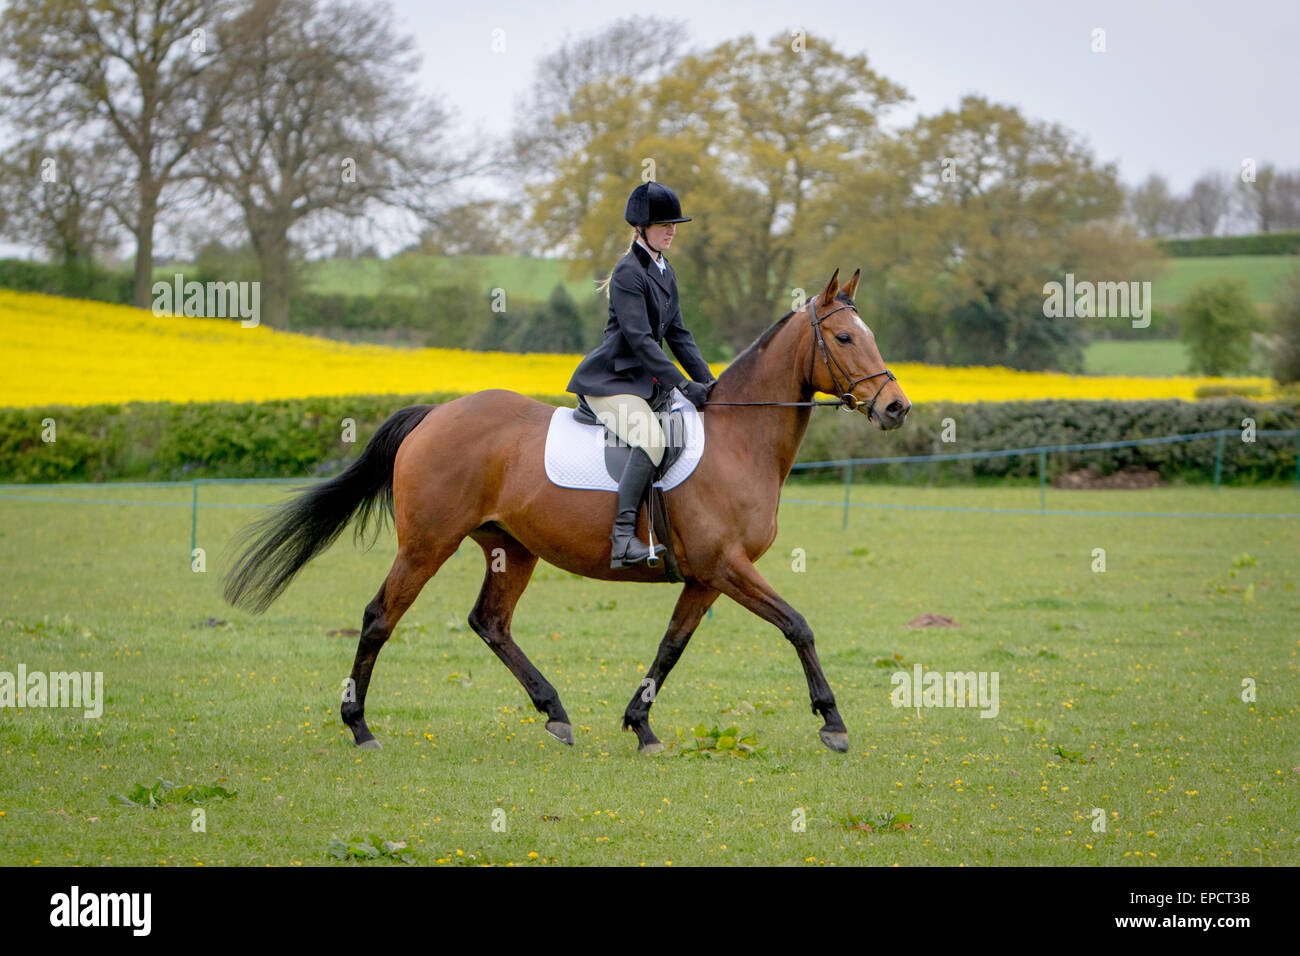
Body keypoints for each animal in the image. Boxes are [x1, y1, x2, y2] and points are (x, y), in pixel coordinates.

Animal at [223, 267, 910, 754]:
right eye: (844, 337)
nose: (896, 408)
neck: (741, 439)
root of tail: (435, 413)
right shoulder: (727, 566)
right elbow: (798, 625)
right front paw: (833, 722)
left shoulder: (706, 577)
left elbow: (671, 647)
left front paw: (641, 725)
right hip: (426, 544)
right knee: (378, 618)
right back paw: (360, 726)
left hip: (511, 547)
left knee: (490, 623)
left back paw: (555, 713)